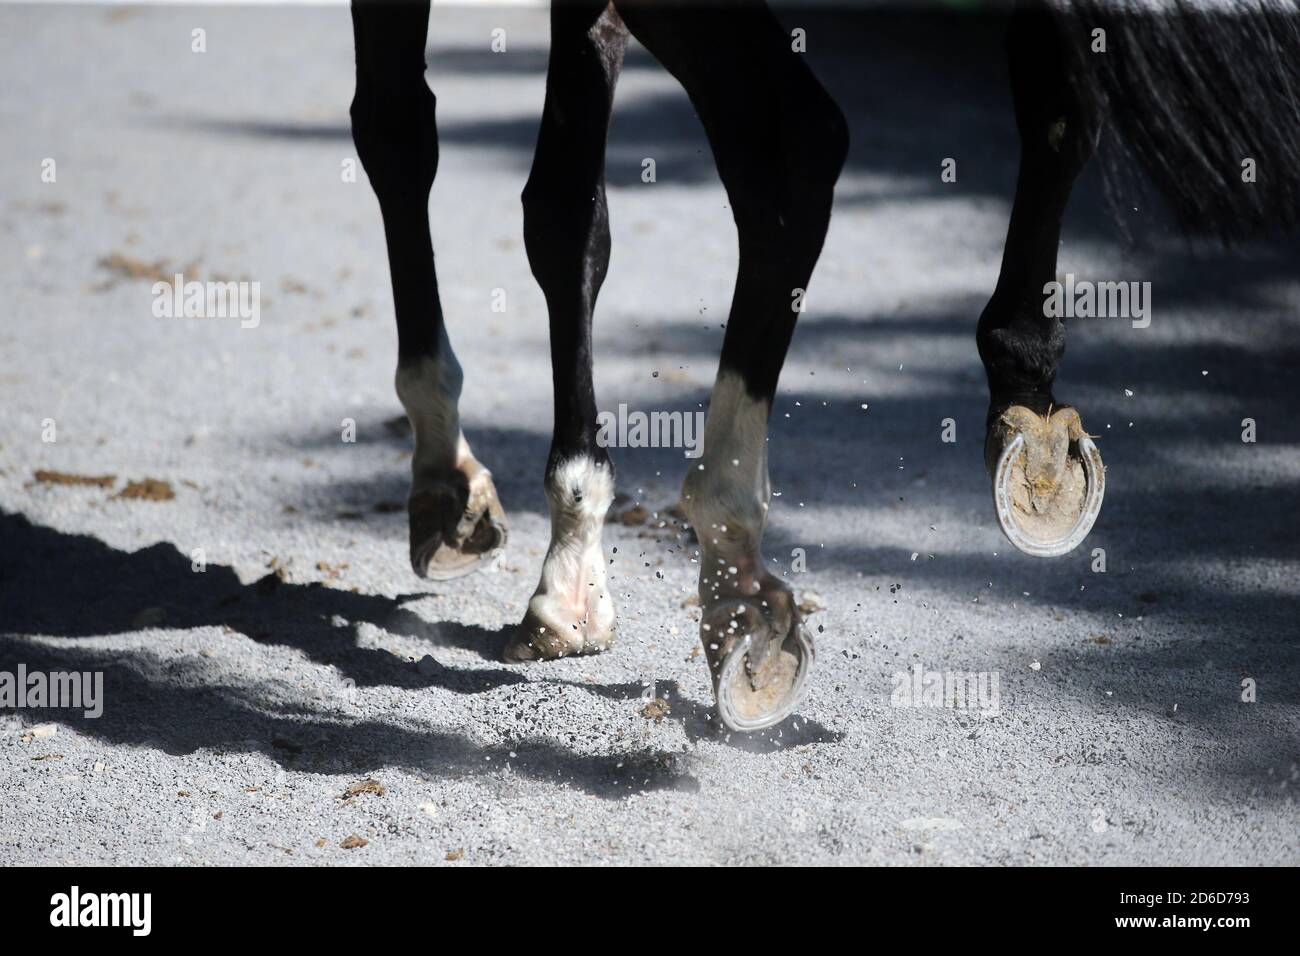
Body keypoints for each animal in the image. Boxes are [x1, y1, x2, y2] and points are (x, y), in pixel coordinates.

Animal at [348, 0, 1300, 731]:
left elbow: (397, 132)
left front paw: (447, 474)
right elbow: (566, 219)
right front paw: (573, 565)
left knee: (789, 146)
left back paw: (732, 565)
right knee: (1060, 96)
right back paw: (1027, 408)